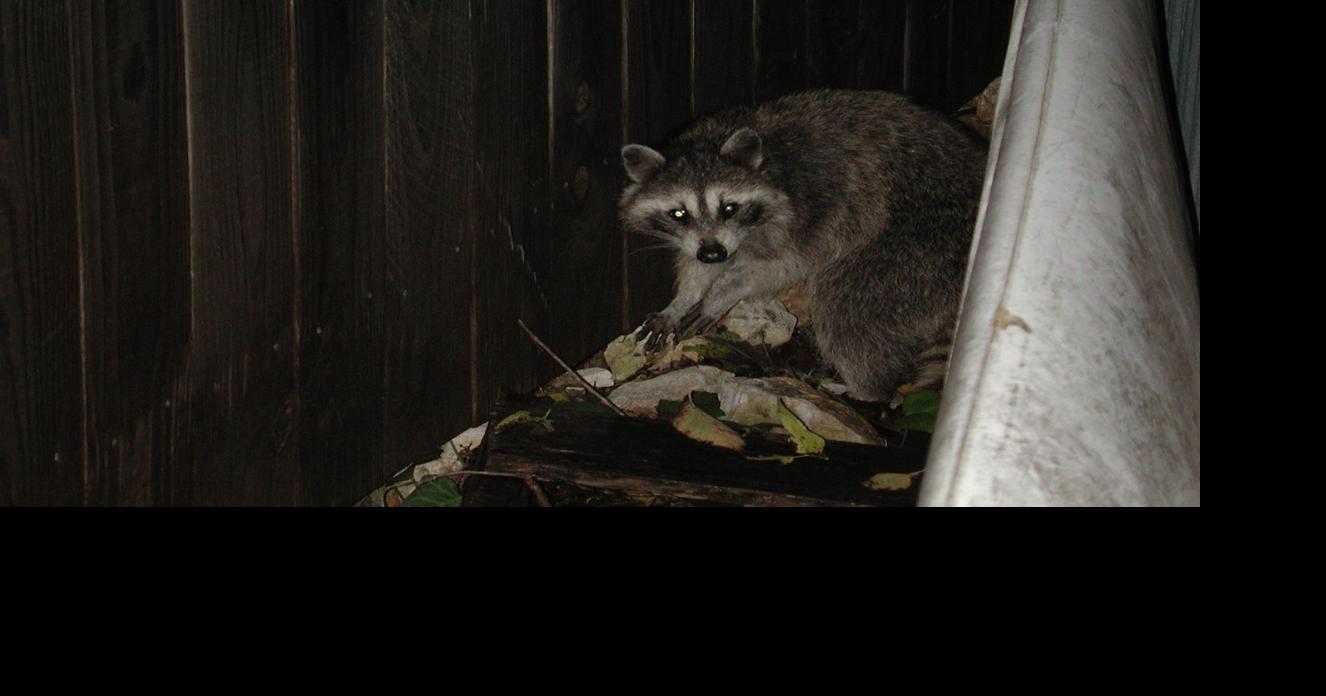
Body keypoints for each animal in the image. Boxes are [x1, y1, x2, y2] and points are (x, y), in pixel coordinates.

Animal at [619, 89, 987, 402]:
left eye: (729, 208)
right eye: (679, 213)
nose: (714, 254)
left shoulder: (813, 207)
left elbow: (779, 267)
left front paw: (721, 295)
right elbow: (696, 262)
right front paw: (683, 299)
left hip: (920, 243)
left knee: (846, 305)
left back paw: (864, 389)